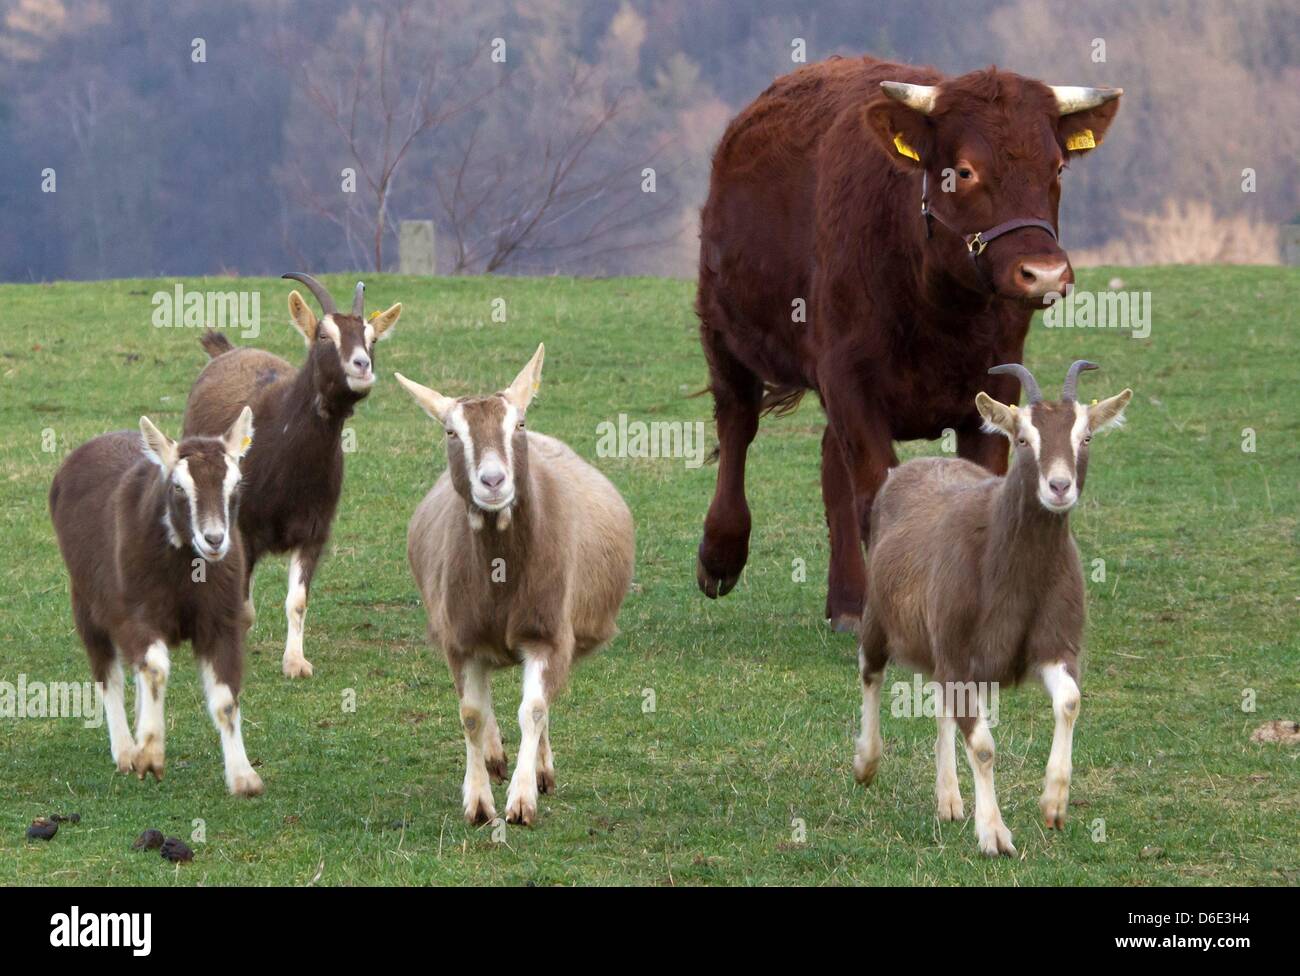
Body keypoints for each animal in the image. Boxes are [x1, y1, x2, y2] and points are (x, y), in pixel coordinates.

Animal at [693, 57, 1122, 630]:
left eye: (1056, 169)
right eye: (963, 171)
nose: (1045, 273)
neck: (939, 312)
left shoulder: (993, 389)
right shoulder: (848, 381)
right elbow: (875, 495)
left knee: (830, 461)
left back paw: (846, 601)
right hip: (724, 326)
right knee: (738, 423)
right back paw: (721, 554)